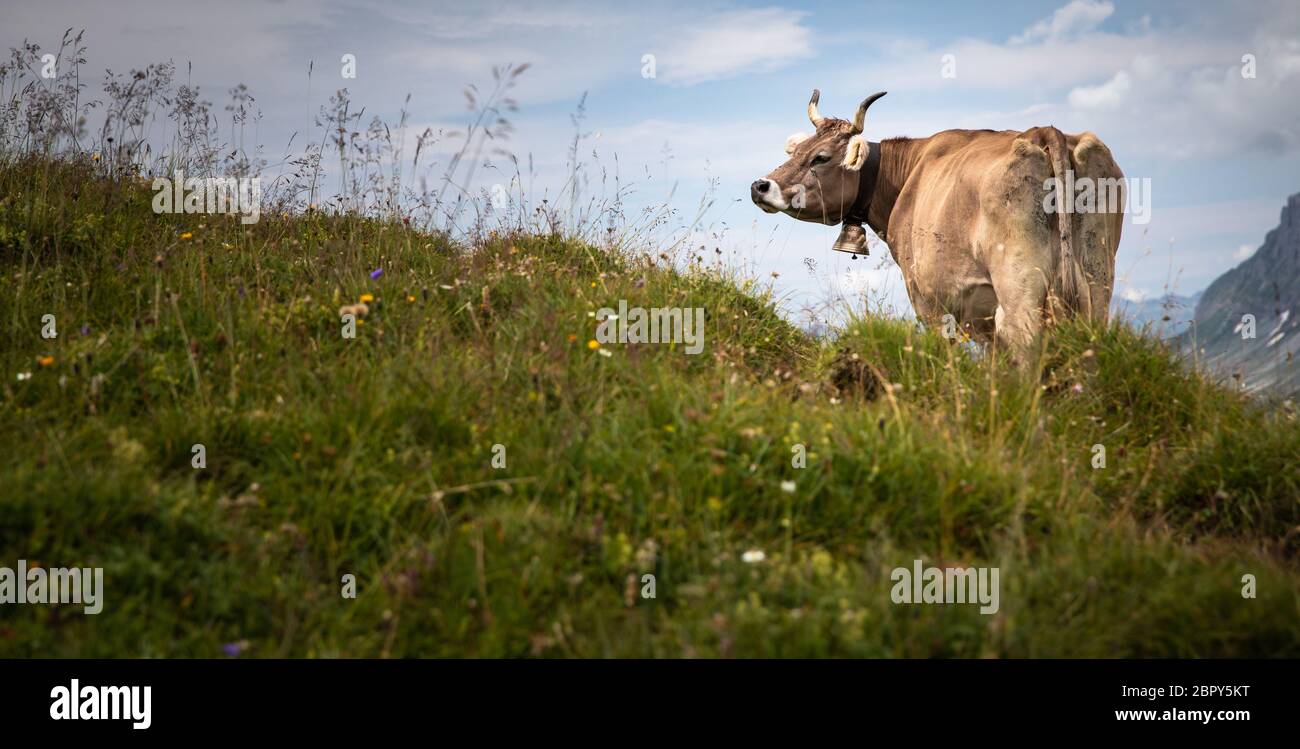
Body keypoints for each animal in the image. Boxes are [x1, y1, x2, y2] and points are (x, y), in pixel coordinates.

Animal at [751, 89, 1124, 363]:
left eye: (821, 157)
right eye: (796, 150)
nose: (760, 186)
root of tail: (1046, 131)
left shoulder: (927, 298)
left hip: (1018, 280)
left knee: (1024, 338)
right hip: (1097, 278)